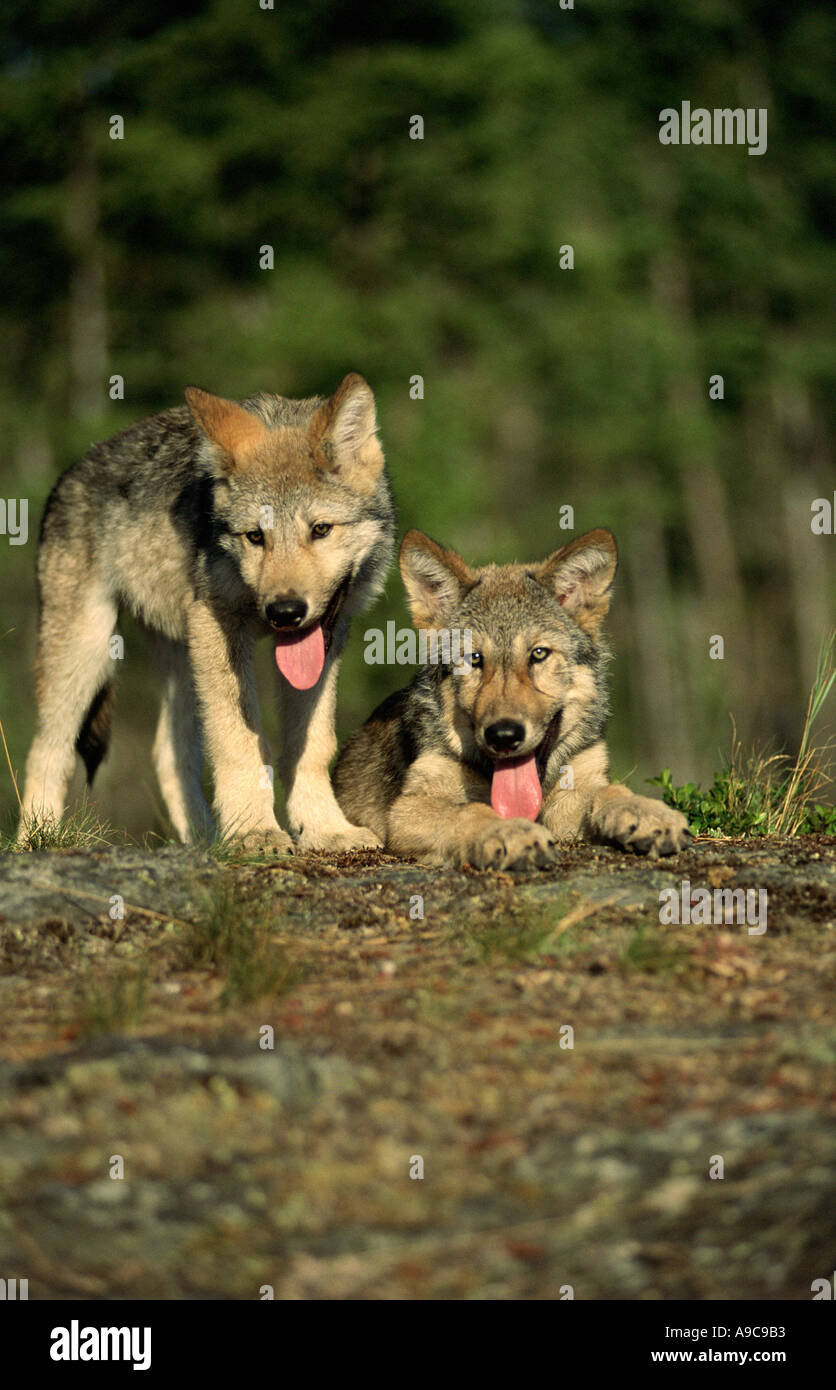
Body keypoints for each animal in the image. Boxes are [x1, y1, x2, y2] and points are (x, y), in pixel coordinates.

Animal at [19, 373, 395, 851]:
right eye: (255, 536)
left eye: (321, 530)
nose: (284, 612)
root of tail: (69, 473)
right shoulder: (219, 627)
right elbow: (240, 742)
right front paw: (255, 832)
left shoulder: (326, 640)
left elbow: (310, 746)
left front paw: (326, 829)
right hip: (89, 653)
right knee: (47, 751)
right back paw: (35, 842)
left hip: (180, 658)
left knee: (168, 755)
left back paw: (204, 841)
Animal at [334, 527, 691, 869]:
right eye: (474, 659)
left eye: (538, 654)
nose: (503, 736)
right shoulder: (409, 808)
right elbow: (472, 811)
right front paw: (509, 832)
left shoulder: (573, 792)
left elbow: (612, 791)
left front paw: (648, 812)